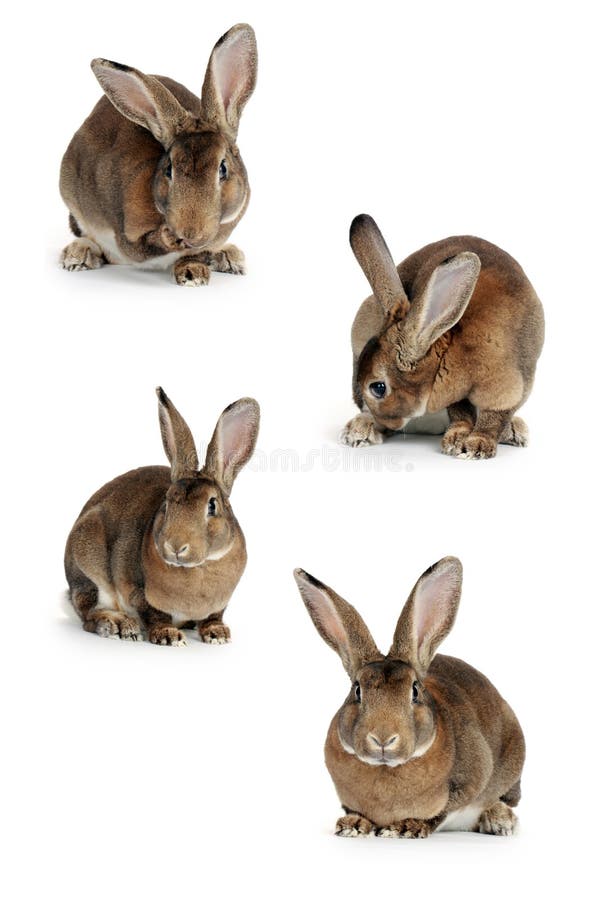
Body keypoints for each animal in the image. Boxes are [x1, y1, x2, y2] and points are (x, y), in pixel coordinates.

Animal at [59, 23, 257, 286]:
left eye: (223, 169)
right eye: (168, 170)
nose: (191, 232)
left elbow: (194, 256)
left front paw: (193, 274)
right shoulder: (126, 235)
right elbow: (142, 246)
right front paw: (170, 238)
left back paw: (229, 257)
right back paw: (78, 255)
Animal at [65, 389, 260, 645]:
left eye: (212, 505)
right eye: (166, 503)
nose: (175, 546)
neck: (200, 567)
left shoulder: (221, 603)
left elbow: (213, 617)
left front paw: (217, 634)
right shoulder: (139, 593)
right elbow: (155, 615)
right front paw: (169, 635)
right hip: (89, 564)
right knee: (88, 615)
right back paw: (119, 625)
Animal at [293, 557, 525, 837]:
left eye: (414, 690)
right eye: (357, 690)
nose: (383, 739)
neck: (386, 768)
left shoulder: (470, 779)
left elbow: (440, 812)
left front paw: (404, 827)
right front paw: (353, 825)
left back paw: (500, 821)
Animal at [340, 215, 544, 458]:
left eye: (378, 388)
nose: (386, 422)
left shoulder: (510, 387)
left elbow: (493, 417)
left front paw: (477, 445)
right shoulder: (456, 394)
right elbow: (461, 413)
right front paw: (457, 440)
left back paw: (514, 431)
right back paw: (360, 429)